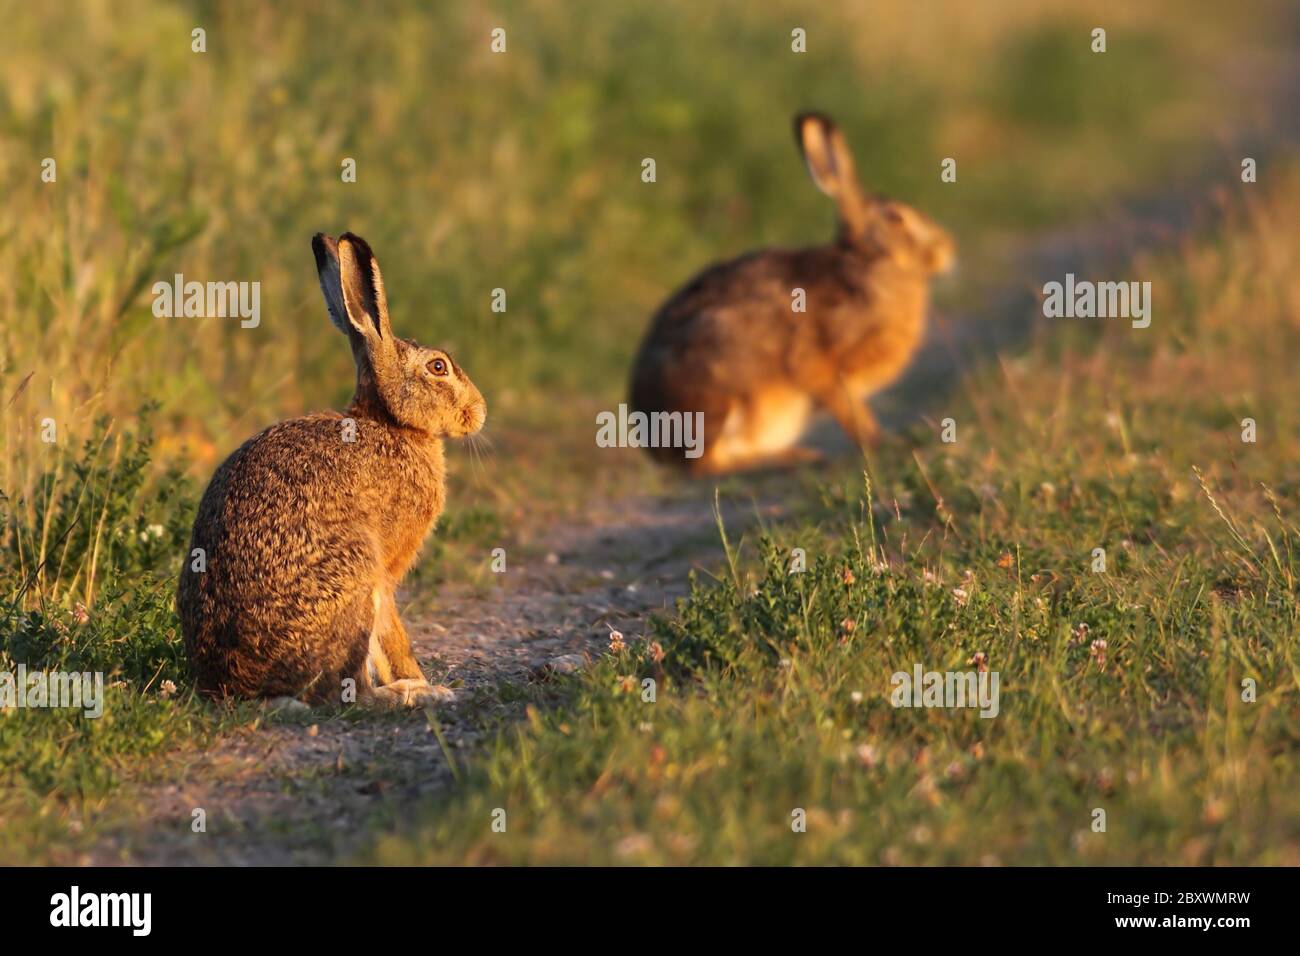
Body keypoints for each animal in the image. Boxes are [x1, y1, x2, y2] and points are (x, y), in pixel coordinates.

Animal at [177, 232, 486, 709]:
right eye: (438, 367)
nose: (480, 412)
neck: (390, 423)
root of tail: (239, 681)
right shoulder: (385, 569)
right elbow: (391, 634)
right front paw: (422, 679)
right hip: (354, 575)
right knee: (349, 691)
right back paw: (413, 694)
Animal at [628, 111, 955, 476]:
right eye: (896, 218)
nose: (946, 250)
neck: (868, 261)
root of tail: (652, 440)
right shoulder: (825, 369)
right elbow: (849, 410)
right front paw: (879, 442)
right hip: (724, 396)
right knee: (706, 463)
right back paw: (792, 457)